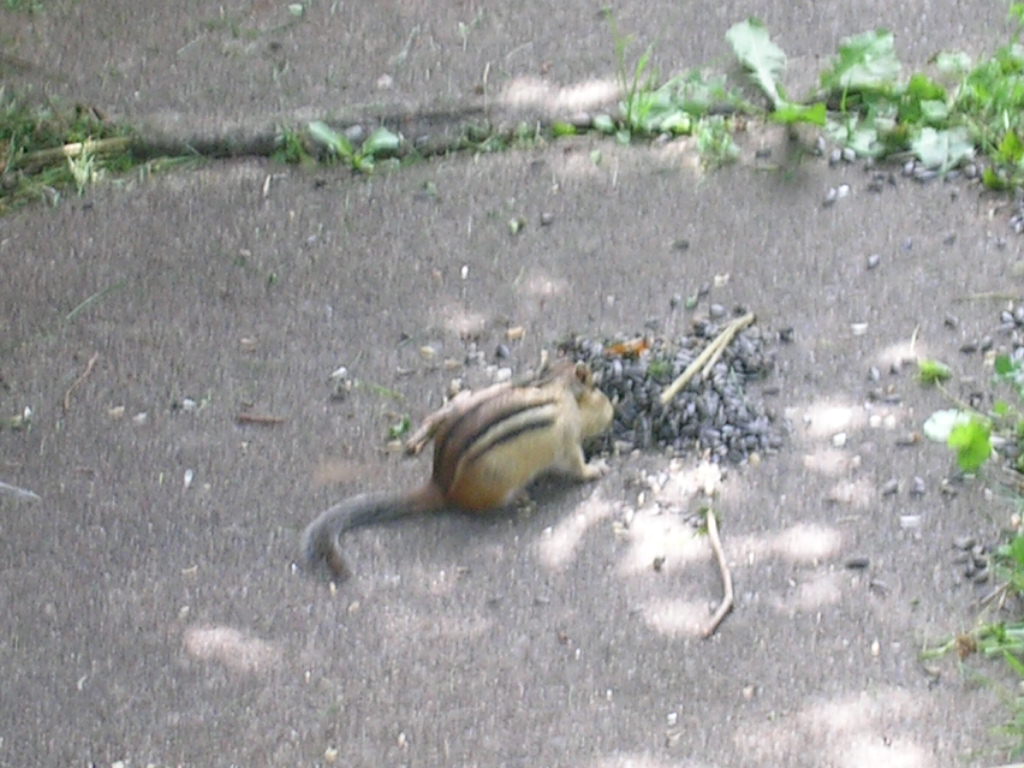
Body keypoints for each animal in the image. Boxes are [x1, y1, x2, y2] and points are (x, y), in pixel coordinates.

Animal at [301, 360, 614, 580]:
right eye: (598, 392)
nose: (613, 410)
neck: (558, 388)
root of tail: (441, 486)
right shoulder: (567, 442)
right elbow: (576, 466)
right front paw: (595, 469)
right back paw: (521, 497)